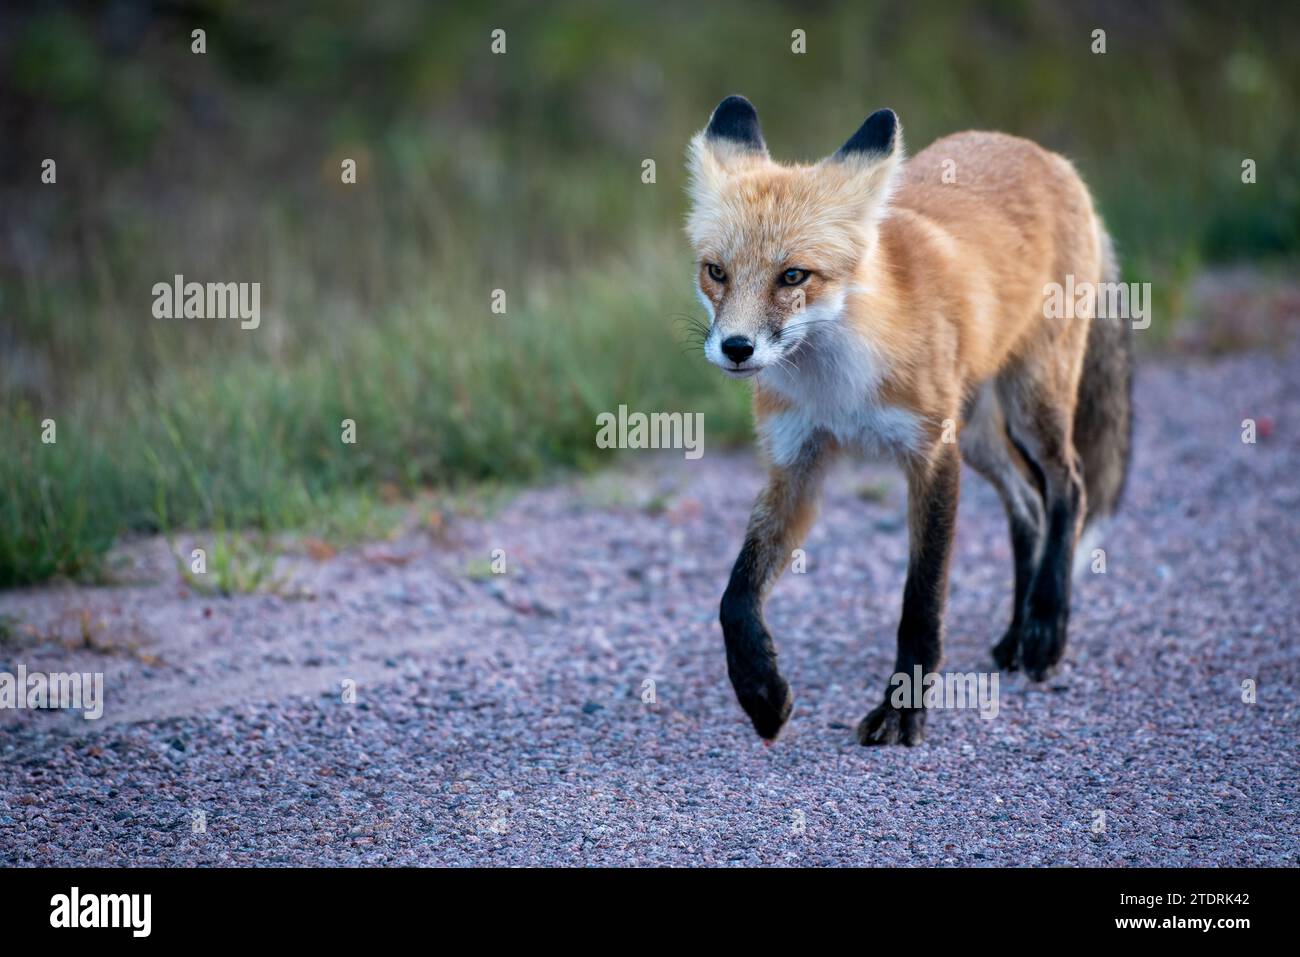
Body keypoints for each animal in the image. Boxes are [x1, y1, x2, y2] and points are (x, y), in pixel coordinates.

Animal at [685, 96, 1132, 745]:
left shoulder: (931, 455)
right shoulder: (796, 470)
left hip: (1031, 402)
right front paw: (760, 694)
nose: (736, 349)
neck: (837, 386)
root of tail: (1047, 156)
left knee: (1067, 487)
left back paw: (1046, 628)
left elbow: (920, 604)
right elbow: (734, 599)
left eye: (793, 275)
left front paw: (902, 710)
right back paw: (1014, 636)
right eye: (716, 271)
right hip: (978, 434)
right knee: (1027, 505)